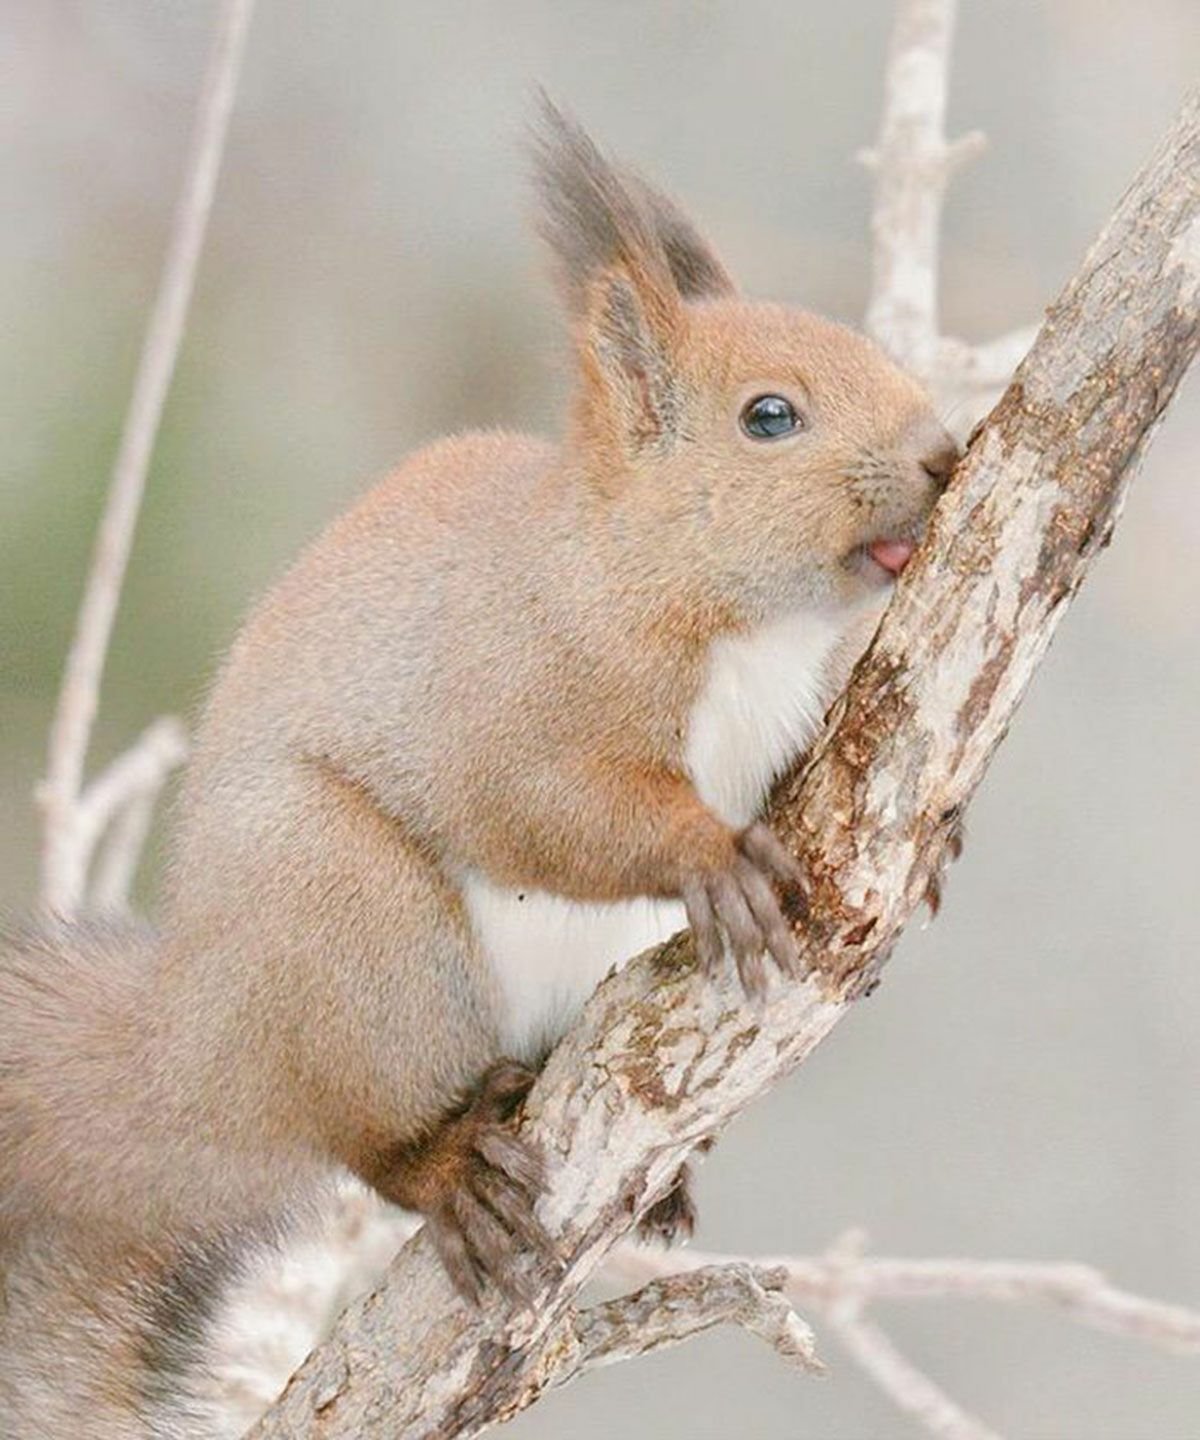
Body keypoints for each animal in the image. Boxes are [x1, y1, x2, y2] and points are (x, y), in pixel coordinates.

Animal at [0, 100, 957, 1438]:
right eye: (770, 416)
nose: (943, 452)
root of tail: (202, 1052)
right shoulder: (509, 694)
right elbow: (546, 810)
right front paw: (709, 853)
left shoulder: (784, 728)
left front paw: (940, 844)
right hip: (353, 930)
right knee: (366, 1138)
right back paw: (452, 1167)